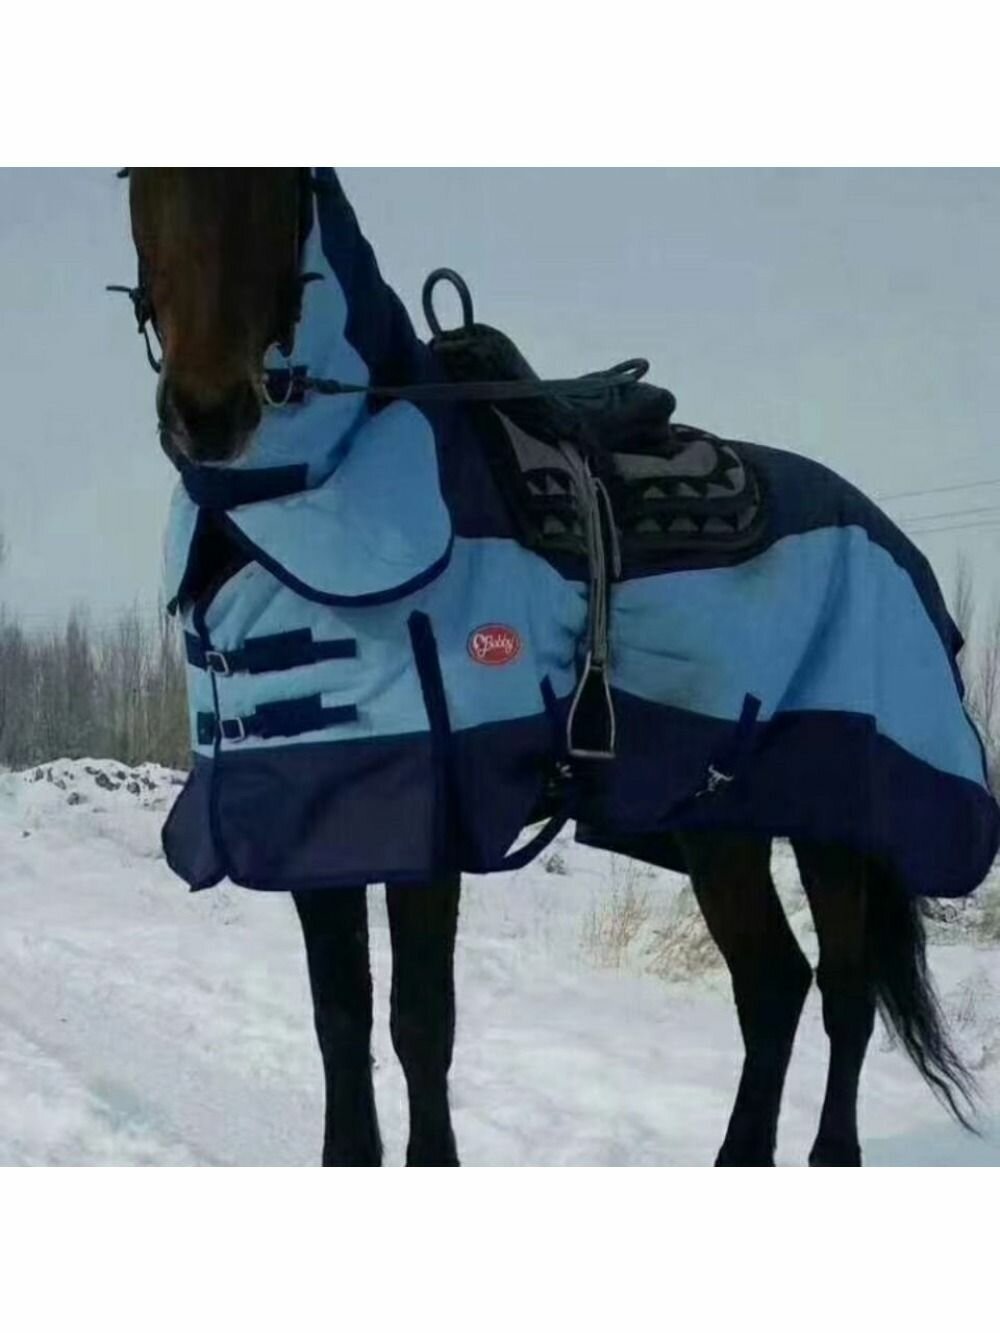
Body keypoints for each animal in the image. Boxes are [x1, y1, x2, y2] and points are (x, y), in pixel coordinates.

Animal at [115, 167, 998, 1166]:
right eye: (136, 180)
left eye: (277, 185)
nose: (207, 411)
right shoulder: (313, 812)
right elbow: (339, 1022)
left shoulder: (429, 811)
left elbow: (419, 1024)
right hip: (720, 818)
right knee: (775, 985)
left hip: (837, 817)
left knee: (844, 994)